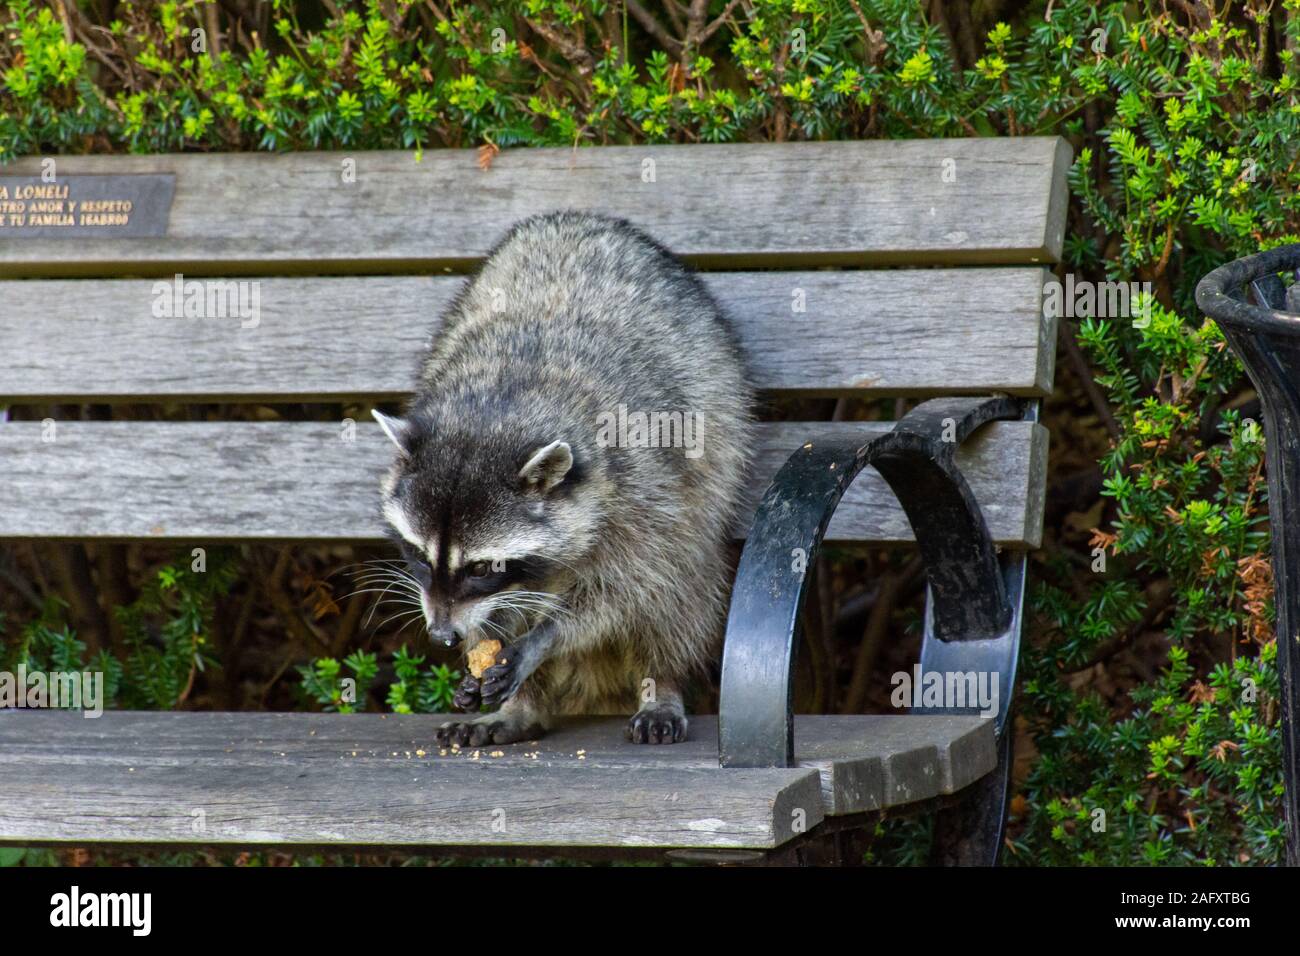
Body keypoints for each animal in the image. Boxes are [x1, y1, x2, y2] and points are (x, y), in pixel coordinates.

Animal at [372, 211, 754, 746]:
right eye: (419, 556)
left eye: (482, 567)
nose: (444, 636)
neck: (498, 407)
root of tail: (581, 216)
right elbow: (495, 607)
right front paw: (491, 641)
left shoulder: (641, 488)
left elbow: (629, 588)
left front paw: (545, 637)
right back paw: (523, 706)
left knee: (679, 589)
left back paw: (660, 681)